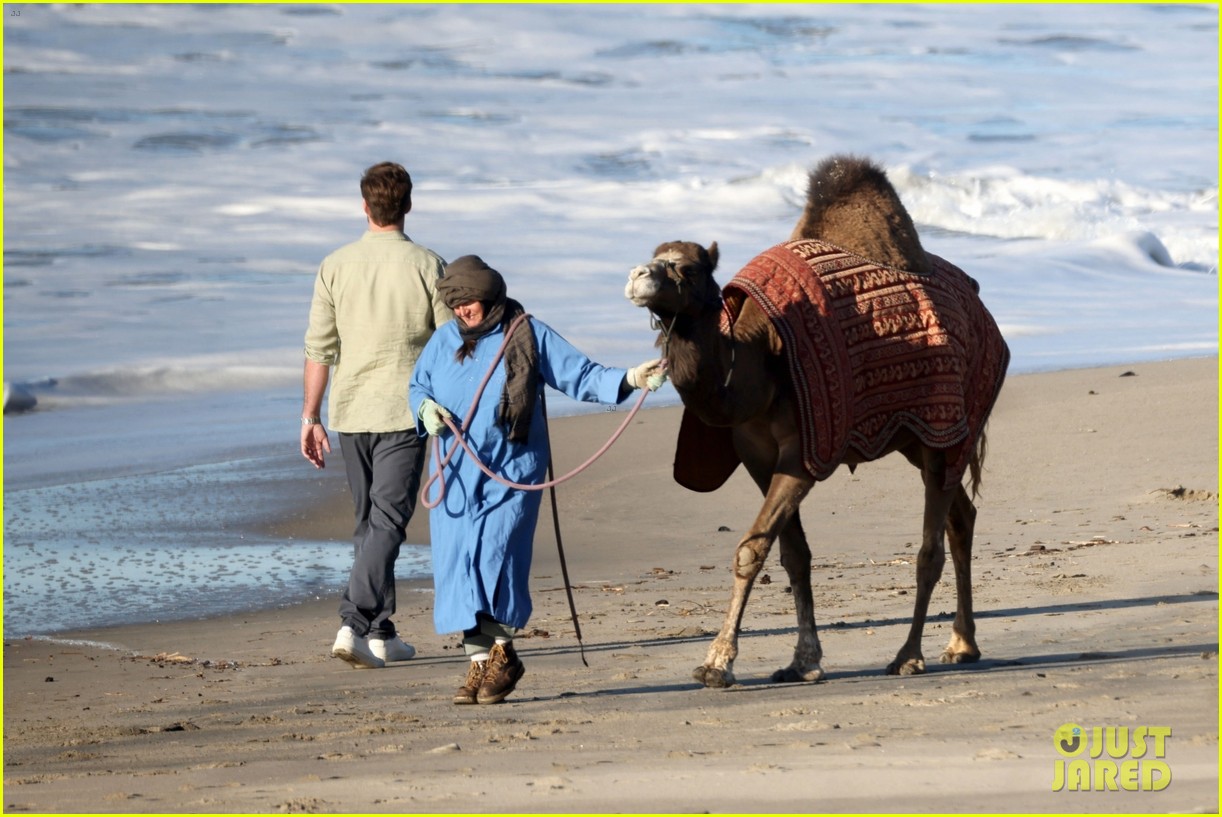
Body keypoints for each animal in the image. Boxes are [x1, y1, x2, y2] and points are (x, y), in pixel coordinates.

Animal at [624, 155, 1009, 687]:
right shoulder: (756, 456)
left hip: (947, 428)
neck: (757, 361)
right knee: (962, 517)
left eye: (686, 267)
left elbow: (751, 548)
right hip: (921, 440)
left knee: (930, 547)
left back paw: (909, 654)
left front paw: (717, 663)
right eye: (654, 254)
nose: (639, 275)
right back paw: (962, 644)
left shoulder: (806, 452)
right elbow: (793, 555)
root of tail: (986, 317)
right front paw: (802, 661)